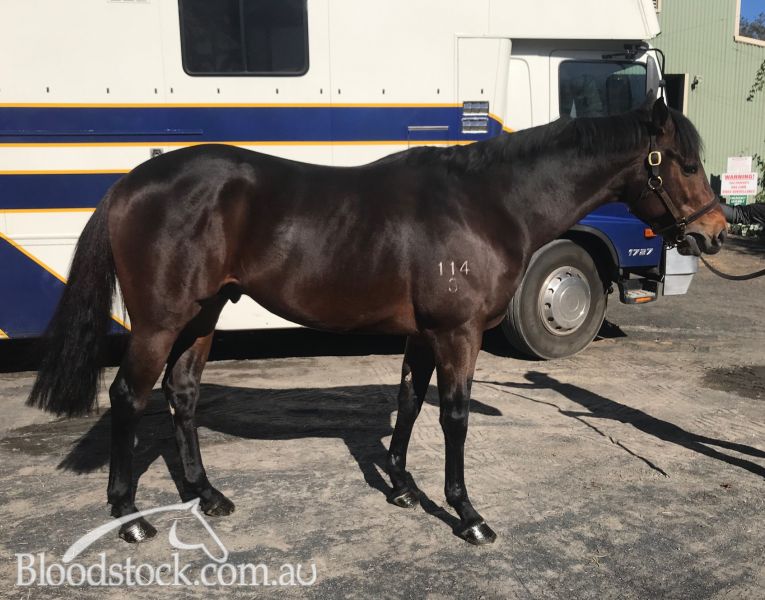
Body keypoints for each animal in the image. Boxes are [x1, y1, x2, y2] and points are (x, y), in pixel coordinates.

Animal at [27, 96, 726, 546]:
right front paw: (466, 513)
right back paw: (130, 516)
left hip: (202, 315)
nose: (717, 232)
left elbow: (410, 402)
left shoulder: (423, 333)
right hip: (160, 321)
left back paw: (207, 494)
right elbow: (453, 417)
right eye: (687, 164)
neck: (487, 204)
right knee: (128, 395)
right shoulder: (456, 333)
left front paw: (401, 487)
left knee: (181, 392)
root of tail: (129, 183)